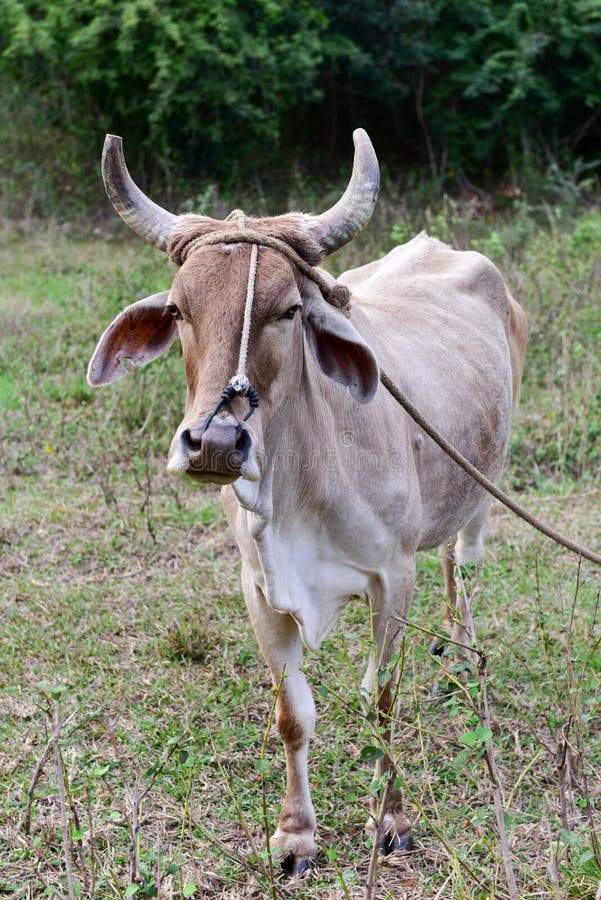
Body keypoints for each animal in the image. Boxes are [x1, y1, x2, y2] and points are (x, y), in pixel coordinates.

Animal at [88, 129, 528, 873]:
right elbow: (293, 714)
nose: (215, 442)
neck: (299, 495)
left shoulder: (393, 578)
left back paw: (462, 660)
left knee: (461, 565)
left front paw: (391, 820)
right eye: (178, 310)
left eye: (289, 309)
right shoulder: (259, 587)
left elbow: (381, 700)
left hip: (483, 486)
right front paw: (295, 835)